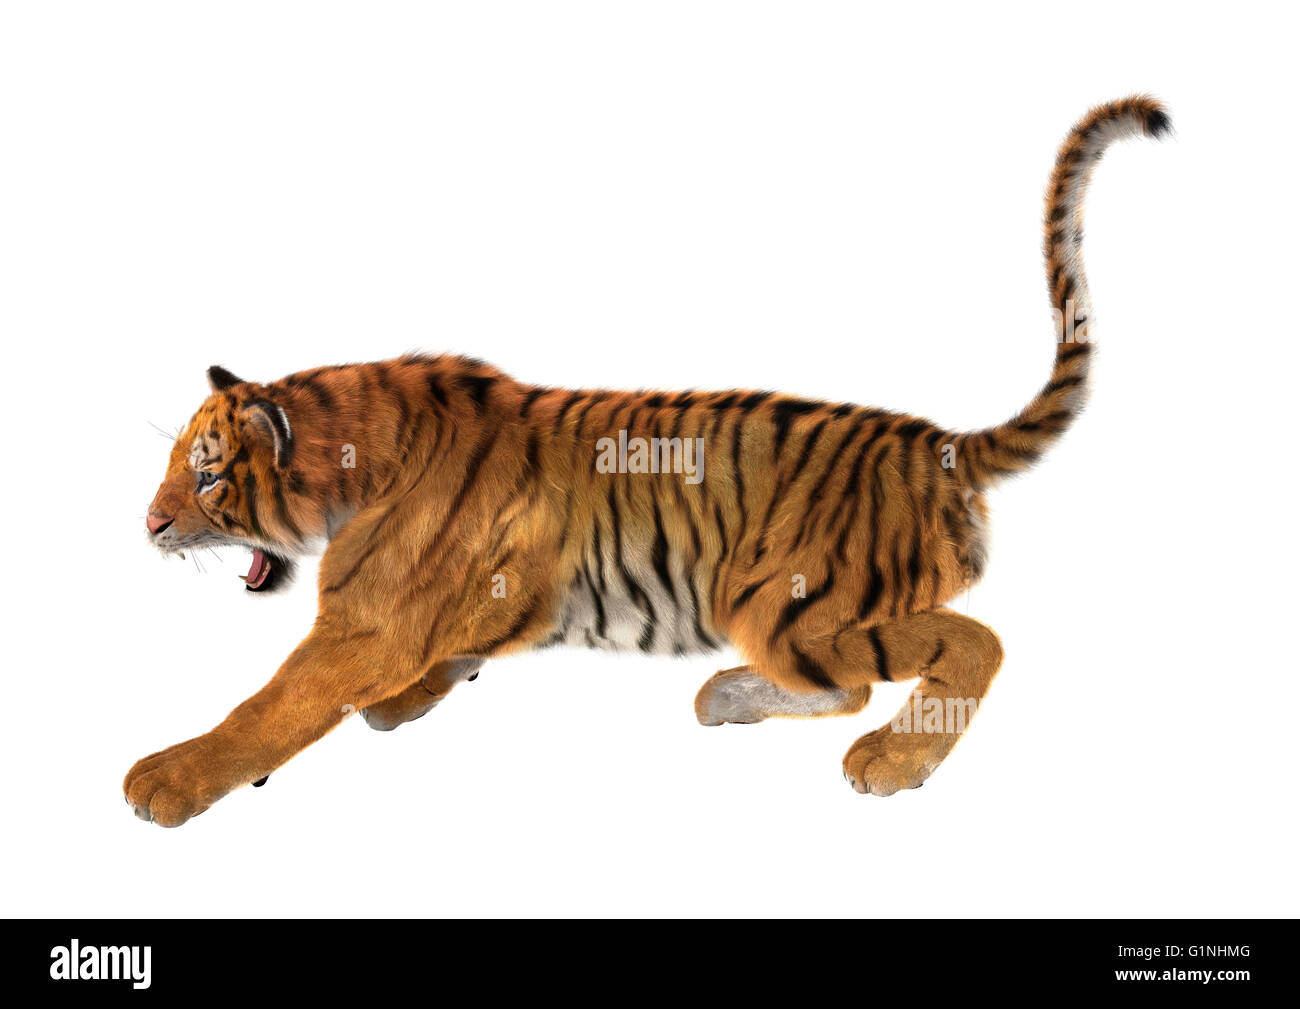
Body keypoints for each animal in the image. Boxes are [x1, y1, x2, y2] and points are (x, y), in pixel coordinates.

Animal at [127, 96, 1169, 826]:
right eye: (180, 463)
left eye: (210, 472)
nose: (148, 523)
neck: (356, 460)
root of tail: (940, 447)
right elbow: (429, 666)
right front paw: (414, 696)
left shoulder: (362, 626)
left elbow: (271, 705)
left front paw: (166, 780)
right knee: (853, 679)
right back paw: (726, 699)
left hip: (784, 599)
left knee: (960, 646)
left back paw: (884, 760)